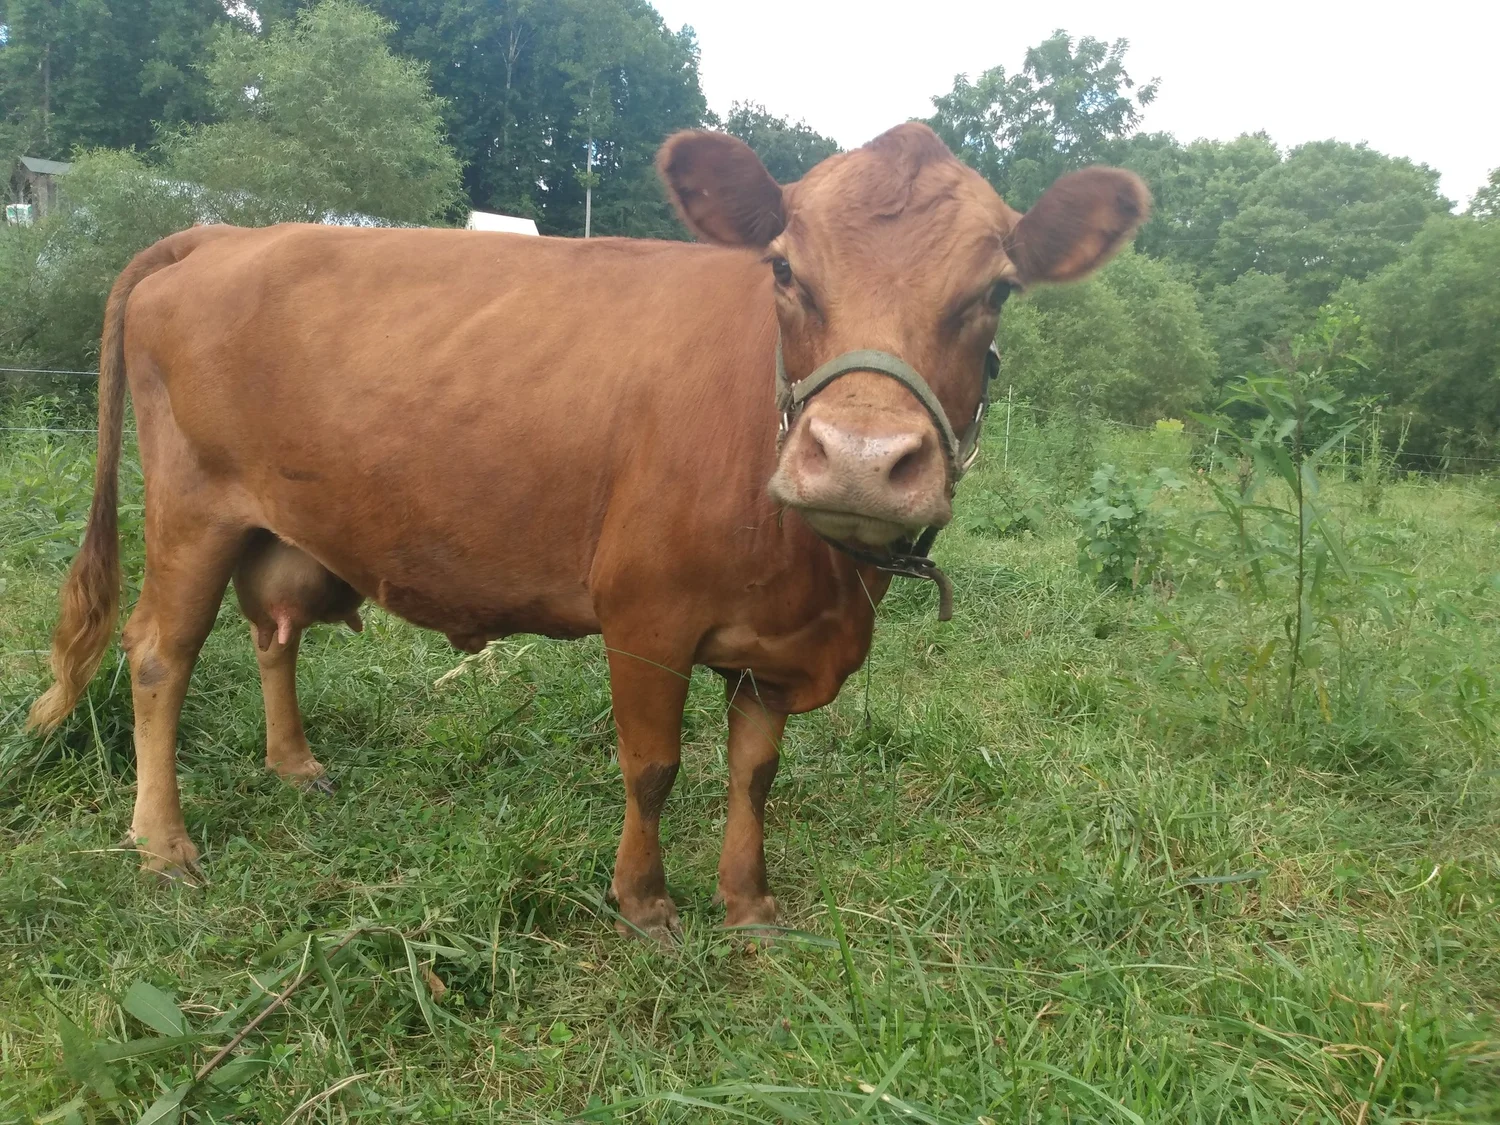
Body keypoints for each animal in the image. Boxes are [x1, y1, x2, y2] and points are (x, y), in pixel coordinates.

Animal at [28, 123, 1148, 942]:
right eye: (785, 272)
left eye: (995, 291)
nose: (863, 458)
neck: (822, 584)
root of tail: (222, 234)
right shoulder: (645, 615)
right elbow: (653, 767)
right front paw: (645, 903)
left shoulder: (775, 648)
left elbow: (756, 770)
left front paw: (749, 901)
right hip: (191, 511)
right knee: (158, 655)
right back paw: (163, 844)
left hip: (274, 526)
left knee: (275, 632)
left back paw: (294, 763)